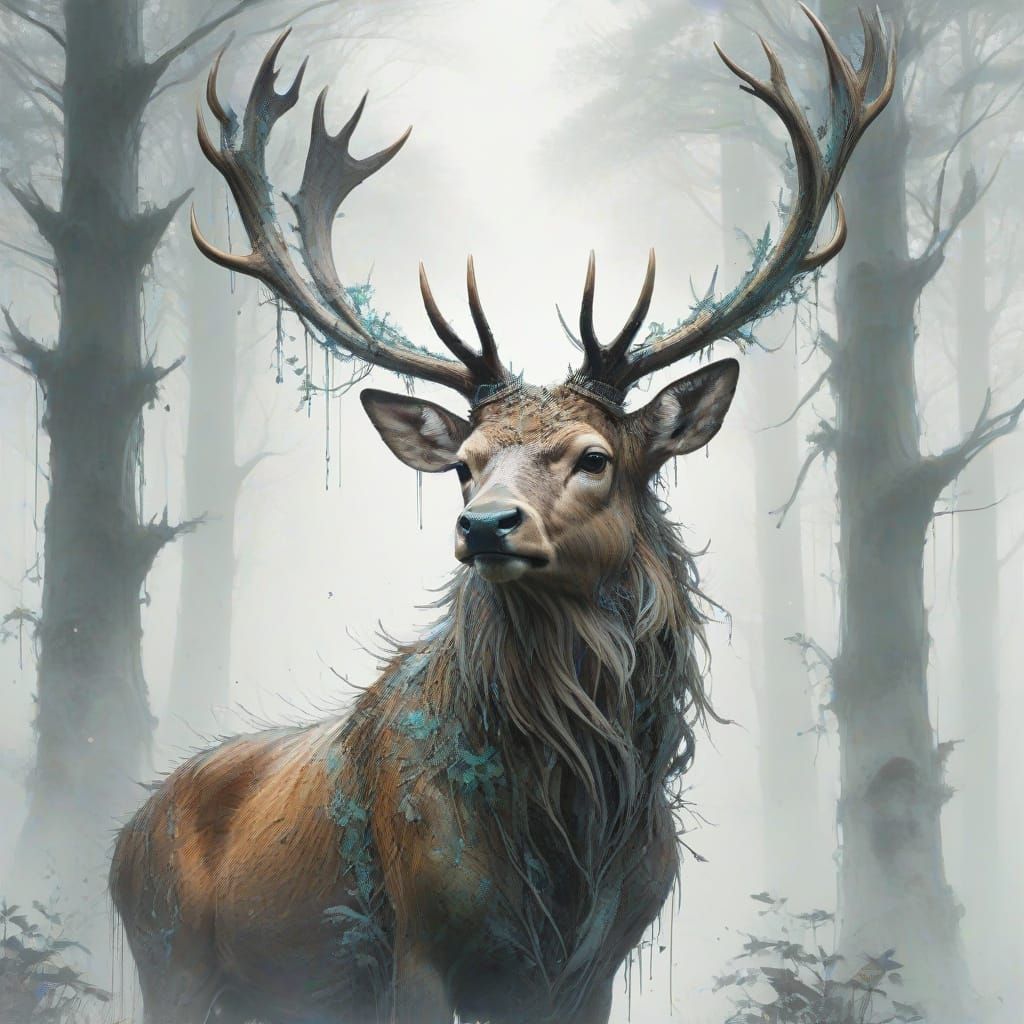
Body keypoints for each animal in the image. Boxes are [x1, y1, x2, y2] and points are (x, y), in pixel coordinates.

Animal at [109, 8, 894, 1024]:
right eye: (463, 466)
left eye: (595, 458)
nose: (485, 526)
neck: (567, 840)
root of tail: (122, 835)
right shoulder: (418, 943)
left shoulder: (592, 967)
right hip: (168, 957)